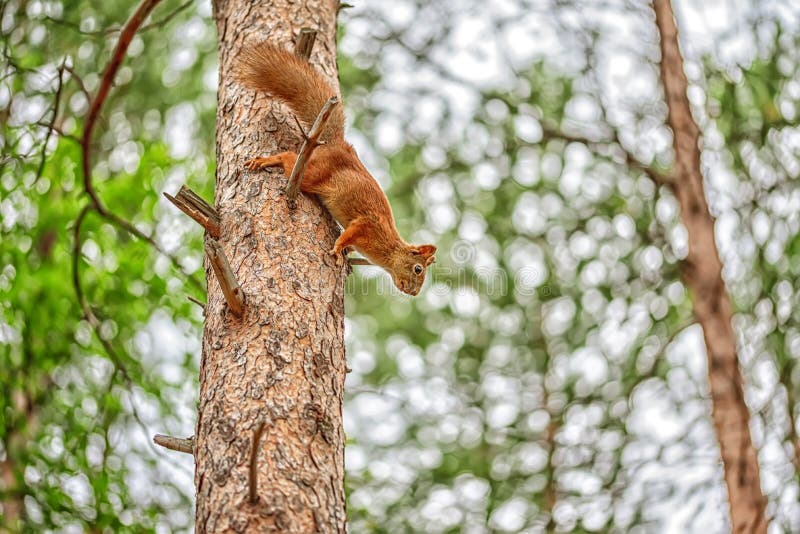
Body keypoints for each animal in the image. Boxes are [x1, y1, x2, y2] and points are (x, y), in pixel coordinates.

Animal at [234, 42, 436, 296]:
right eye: (418, 269)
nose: (413, 293)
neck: (389, 246)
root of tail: (336, 144)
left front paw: (346, 252)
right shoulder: (366, 225)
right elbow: (348, 234)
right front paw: (338, 249)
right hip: (312, 175)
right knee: (289, 157)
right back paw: (267, 160)